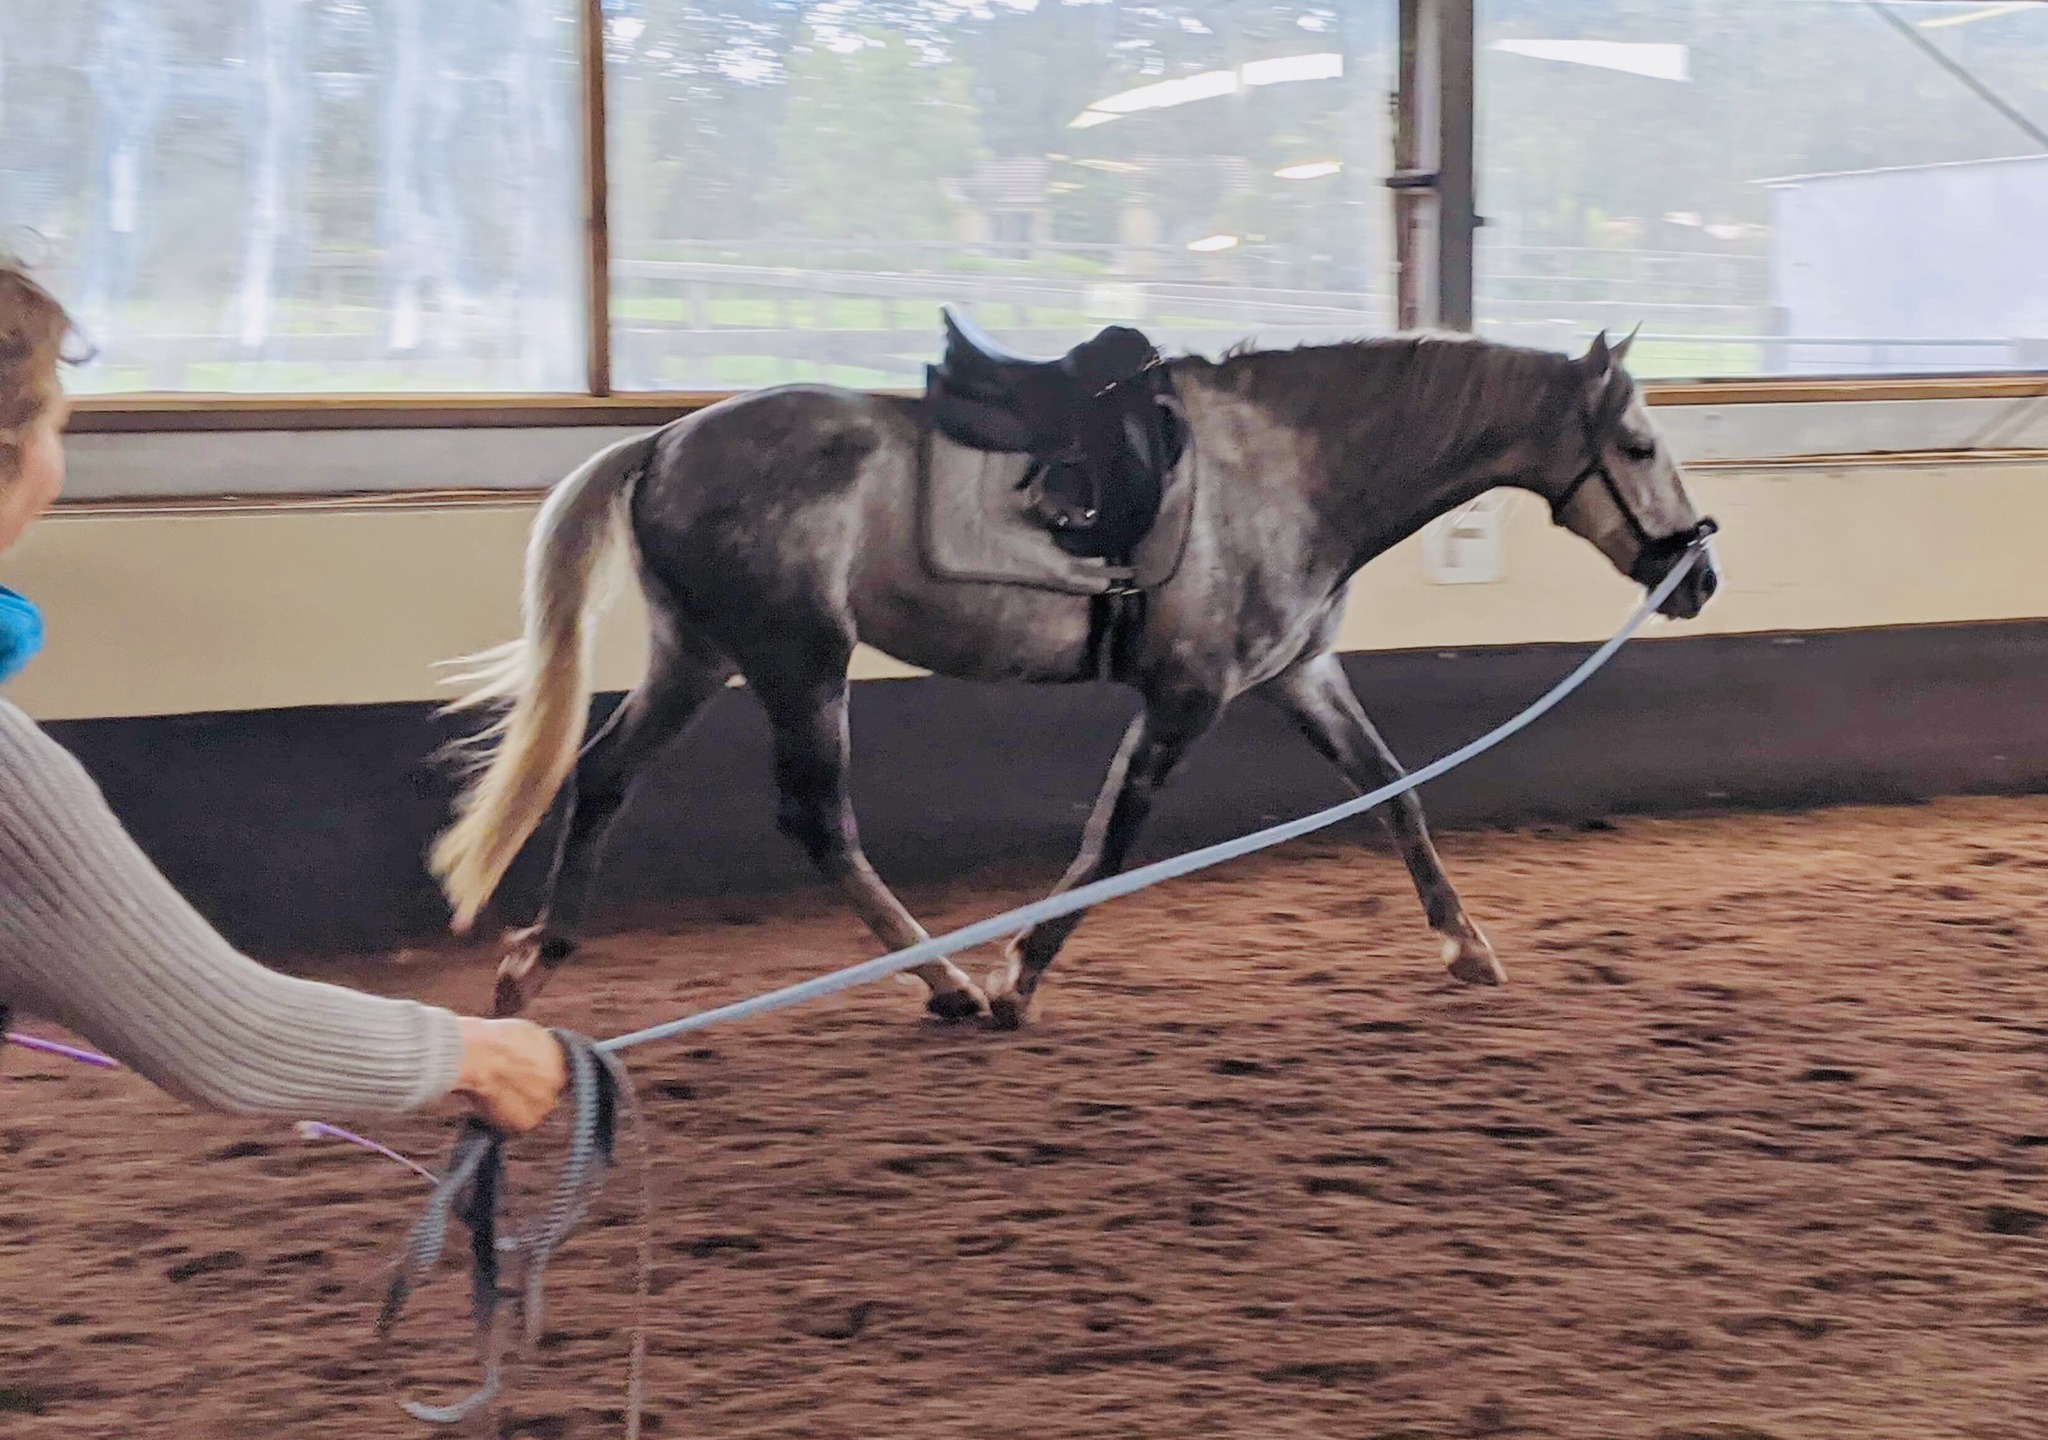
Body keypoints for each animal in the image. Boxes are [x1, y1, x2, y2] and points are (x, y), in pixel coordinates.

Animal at [429, 328, 1720, 1027]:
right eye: (1638, 445)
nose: (1696, 572)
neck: (1286, 470)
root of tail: (664, 441)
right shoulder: (1188, 695)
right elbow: (1109, 840)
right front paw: (1021, 976)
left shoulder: (1299, 675)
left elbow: (1393, 793)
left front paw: (1465, 946)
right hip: (799, 662)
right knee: (815, 819)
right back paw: (948, 983)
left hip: (700, 657)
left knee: (603, 778)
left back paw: (534, 962)